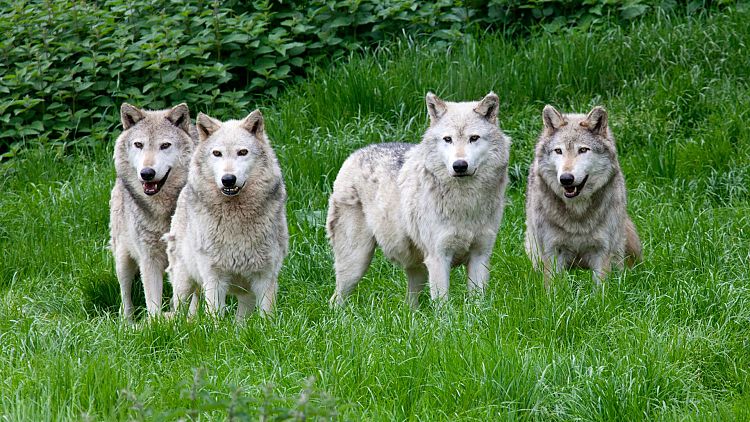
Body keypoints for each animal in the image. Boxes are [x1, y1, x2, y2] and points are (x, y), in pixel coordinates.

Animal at [110, 102, 196, 319]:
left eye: (165, 145)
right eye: (139, 145)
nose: (147, 173)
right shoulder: (148, 259)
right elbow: (152, 303)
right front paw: (156, 324)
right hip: (123, 259)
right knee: (125, 296)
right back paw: (127, 322)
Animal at [164, 110, 288, 319]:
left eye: (243, 152)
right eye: (217, 153)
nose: (228, 179)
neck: (235, 216)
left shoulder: (266, 277)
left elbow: (267, 318)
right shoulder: (214, 278)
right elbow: (215, 317)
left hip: (245, 295)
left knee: (241, 321)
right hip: (184, 284)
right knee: (179, 313)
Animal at [326, 92, 511, 307]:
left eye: (474, 138)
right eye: (448, 139)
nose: (459, 165)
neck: (466, 202)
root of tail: (355, 154)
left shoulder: (480, 256)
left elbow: (478, 305)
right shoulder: (439, 258)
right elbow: (443, 306)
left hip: (417, 269)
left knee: (409, 305)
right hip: (356, 264)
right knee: (335, 300)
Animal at [524, 105, 642, 288]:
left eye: (583, 150)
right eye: (558, 151)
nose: (566, 178)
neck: (577, 214)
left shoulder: (602, 251)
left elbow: (601, 289)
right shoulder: (552, 251)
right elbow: (553, 289)